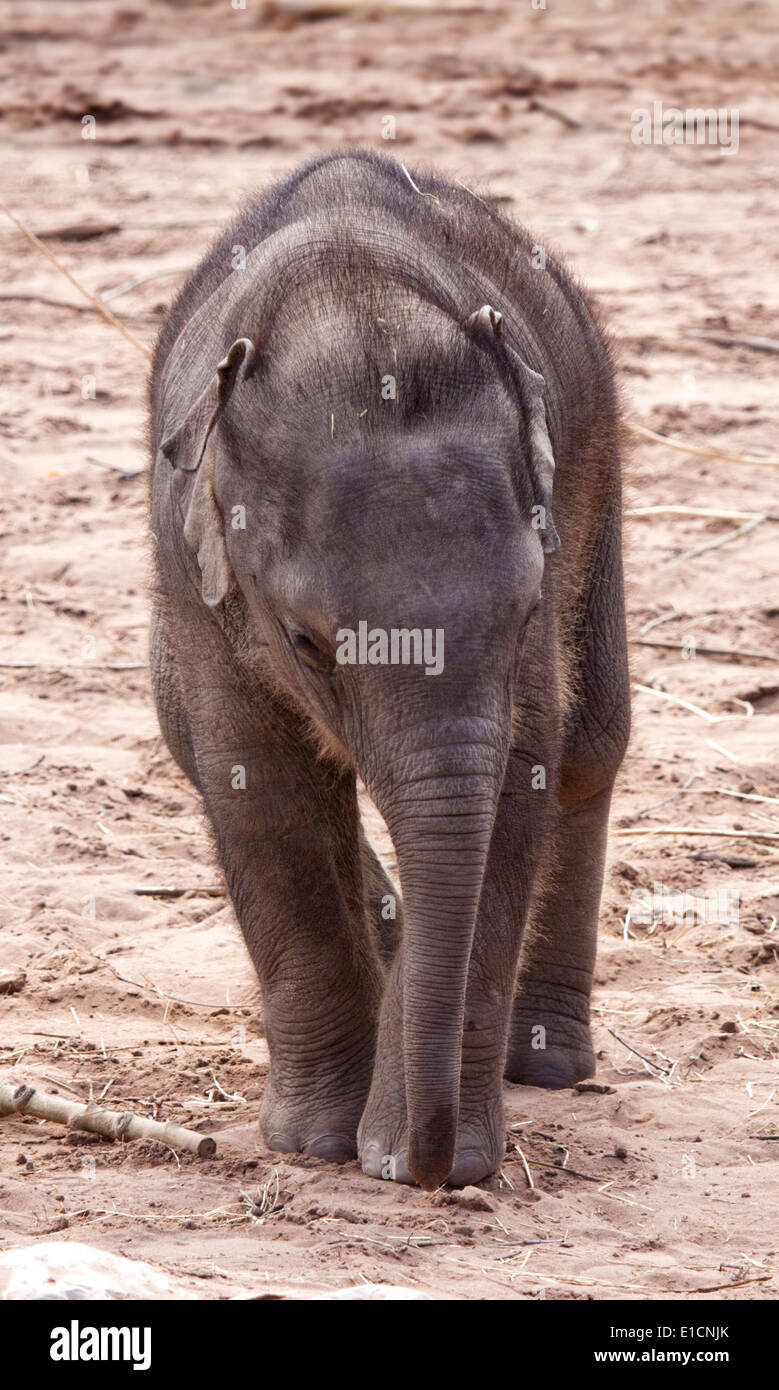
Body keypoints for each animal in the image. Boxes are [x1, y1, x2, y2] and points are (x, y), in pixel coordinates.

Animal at [148, 149, 630, 1191]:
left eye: (522, 614)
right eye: (306, 644)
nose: (426, 1165)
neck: (352, 304)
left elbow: (520, 780)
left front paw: (425, 1153)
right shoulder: (196, 577)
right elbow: (257, 784)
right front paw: (319, 1143)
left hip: (601, 450)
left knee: (589, 746)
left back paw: (545, 1064)